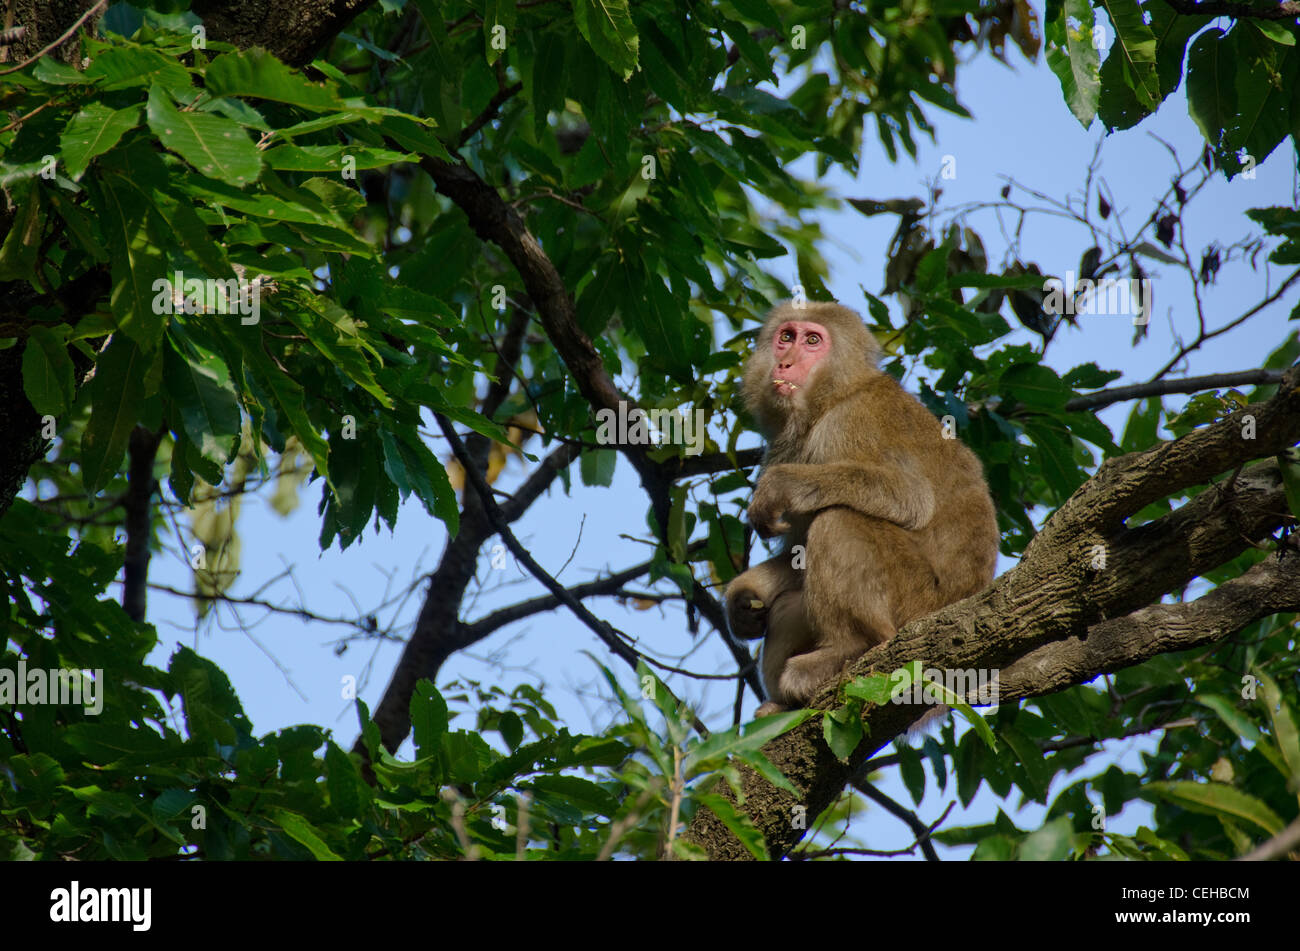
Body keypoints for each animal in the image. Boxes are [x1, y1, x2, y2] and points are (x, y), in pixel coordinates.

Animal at [724, 301, 999, 717]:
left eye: (813, 340)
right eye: (786, 336)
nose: (785, 362)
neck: (831, 398)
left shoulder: (848, 425)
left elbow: (910, 496)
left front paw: (781, 486)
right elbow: (796, 551)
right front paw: (741, 599)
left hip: (914, 600)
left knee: (838, 519)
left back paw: (851, 648)